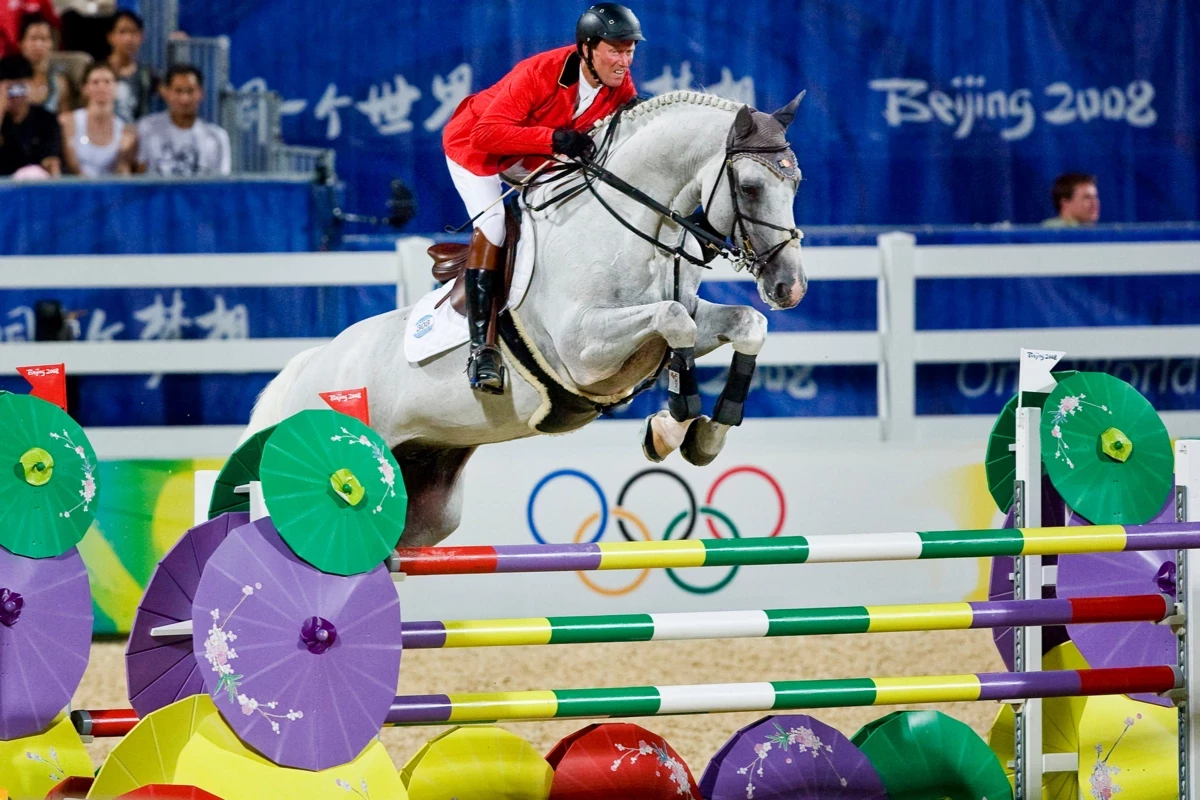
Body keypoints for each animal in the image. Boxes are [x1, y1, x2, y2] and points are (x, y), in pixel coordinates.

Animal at [244, 89, 808, 547]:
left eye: (796, 183)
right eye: (752, 187)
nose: (790, 287)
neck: (632, 225)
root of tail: (312, 364)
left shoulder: (682, 318)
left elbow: (744, 324)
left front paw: (706, 434)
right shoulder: (584, 351)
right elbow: (675, 322)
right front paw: (673, 425)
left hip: (425, 508)